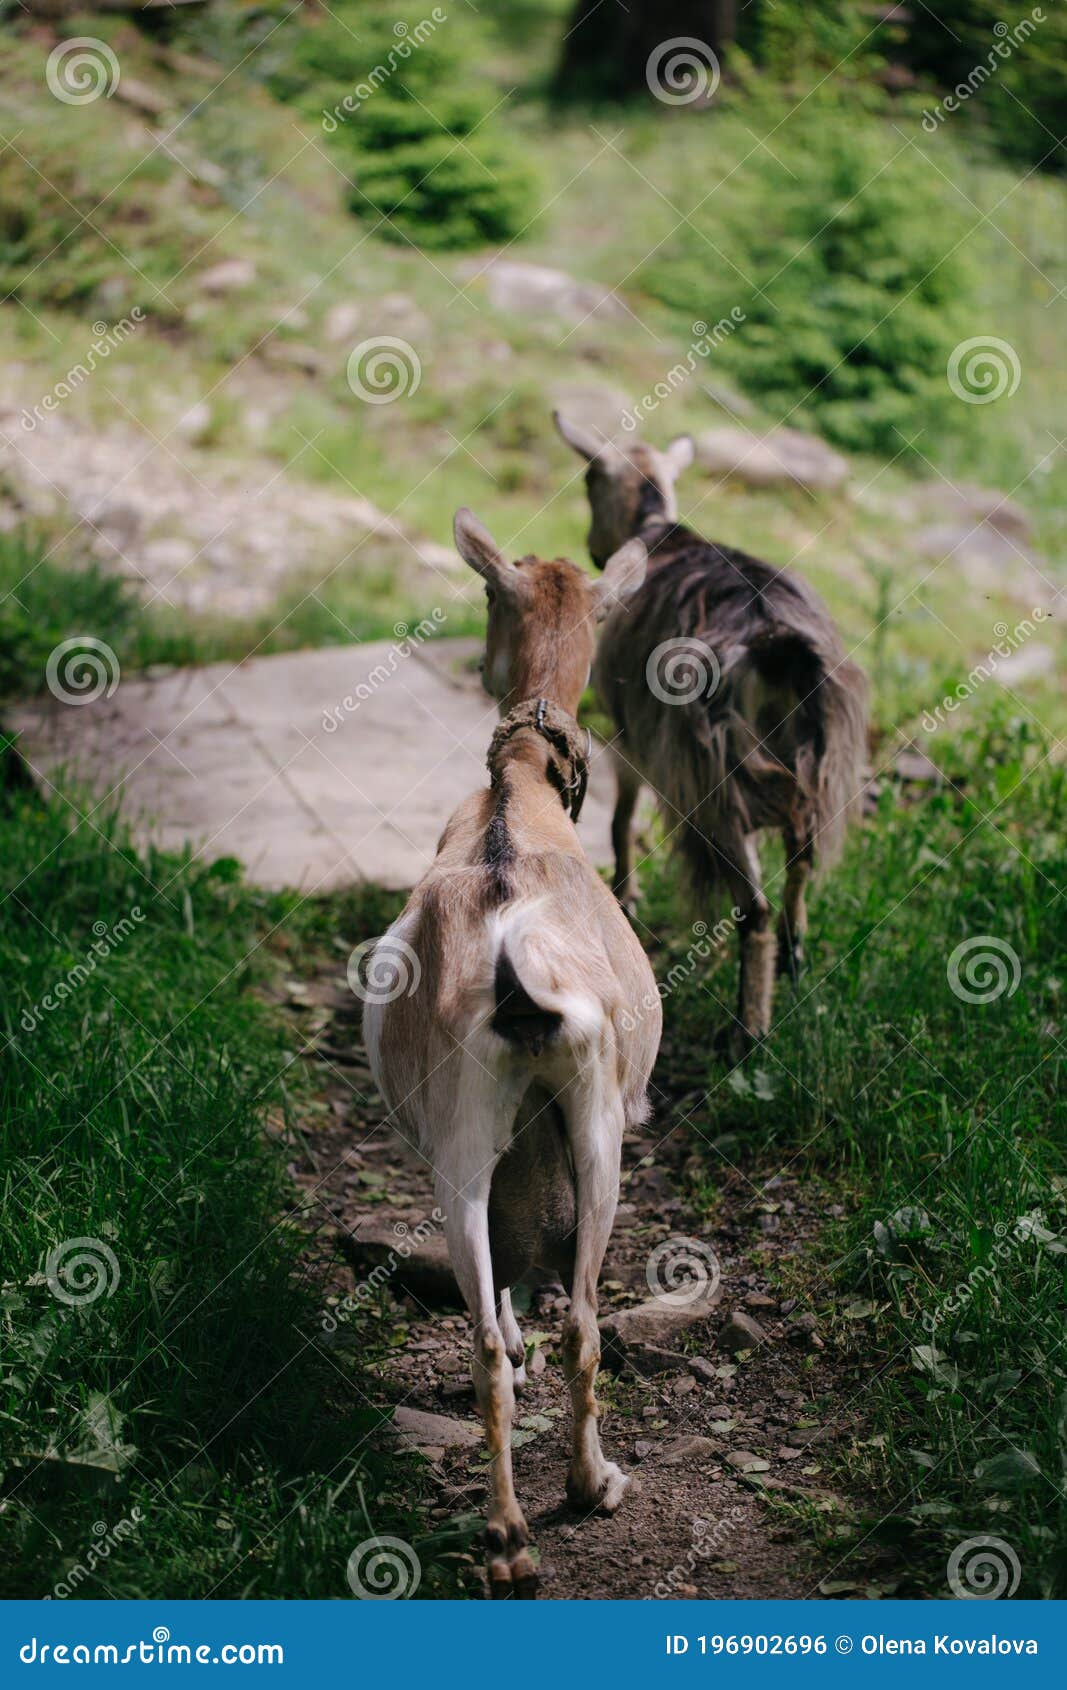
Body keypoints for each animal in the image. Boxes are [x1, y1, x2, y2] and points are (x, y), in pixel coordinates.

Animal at [362, 509, 661, 1598]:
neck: (515, 791)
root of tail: (512, 957)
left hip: (467, 1146)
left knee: (498, 1334)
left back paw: (511, 1537)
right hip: (592, 1130)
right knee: (576, 1320)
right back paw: (580, 1493)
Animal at [555, 412, 868, 1054]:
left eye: (589, 479)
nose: (594, 550)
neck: (658, 530)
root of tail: (776, 649)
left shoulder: (634, 730)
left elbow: (621, 814)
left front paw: (626, 893)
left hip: (715, 781)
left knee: (756, 906)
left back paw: (748, 1029)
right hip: (815, 769)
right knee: (802, 863)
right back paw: (793, 956)